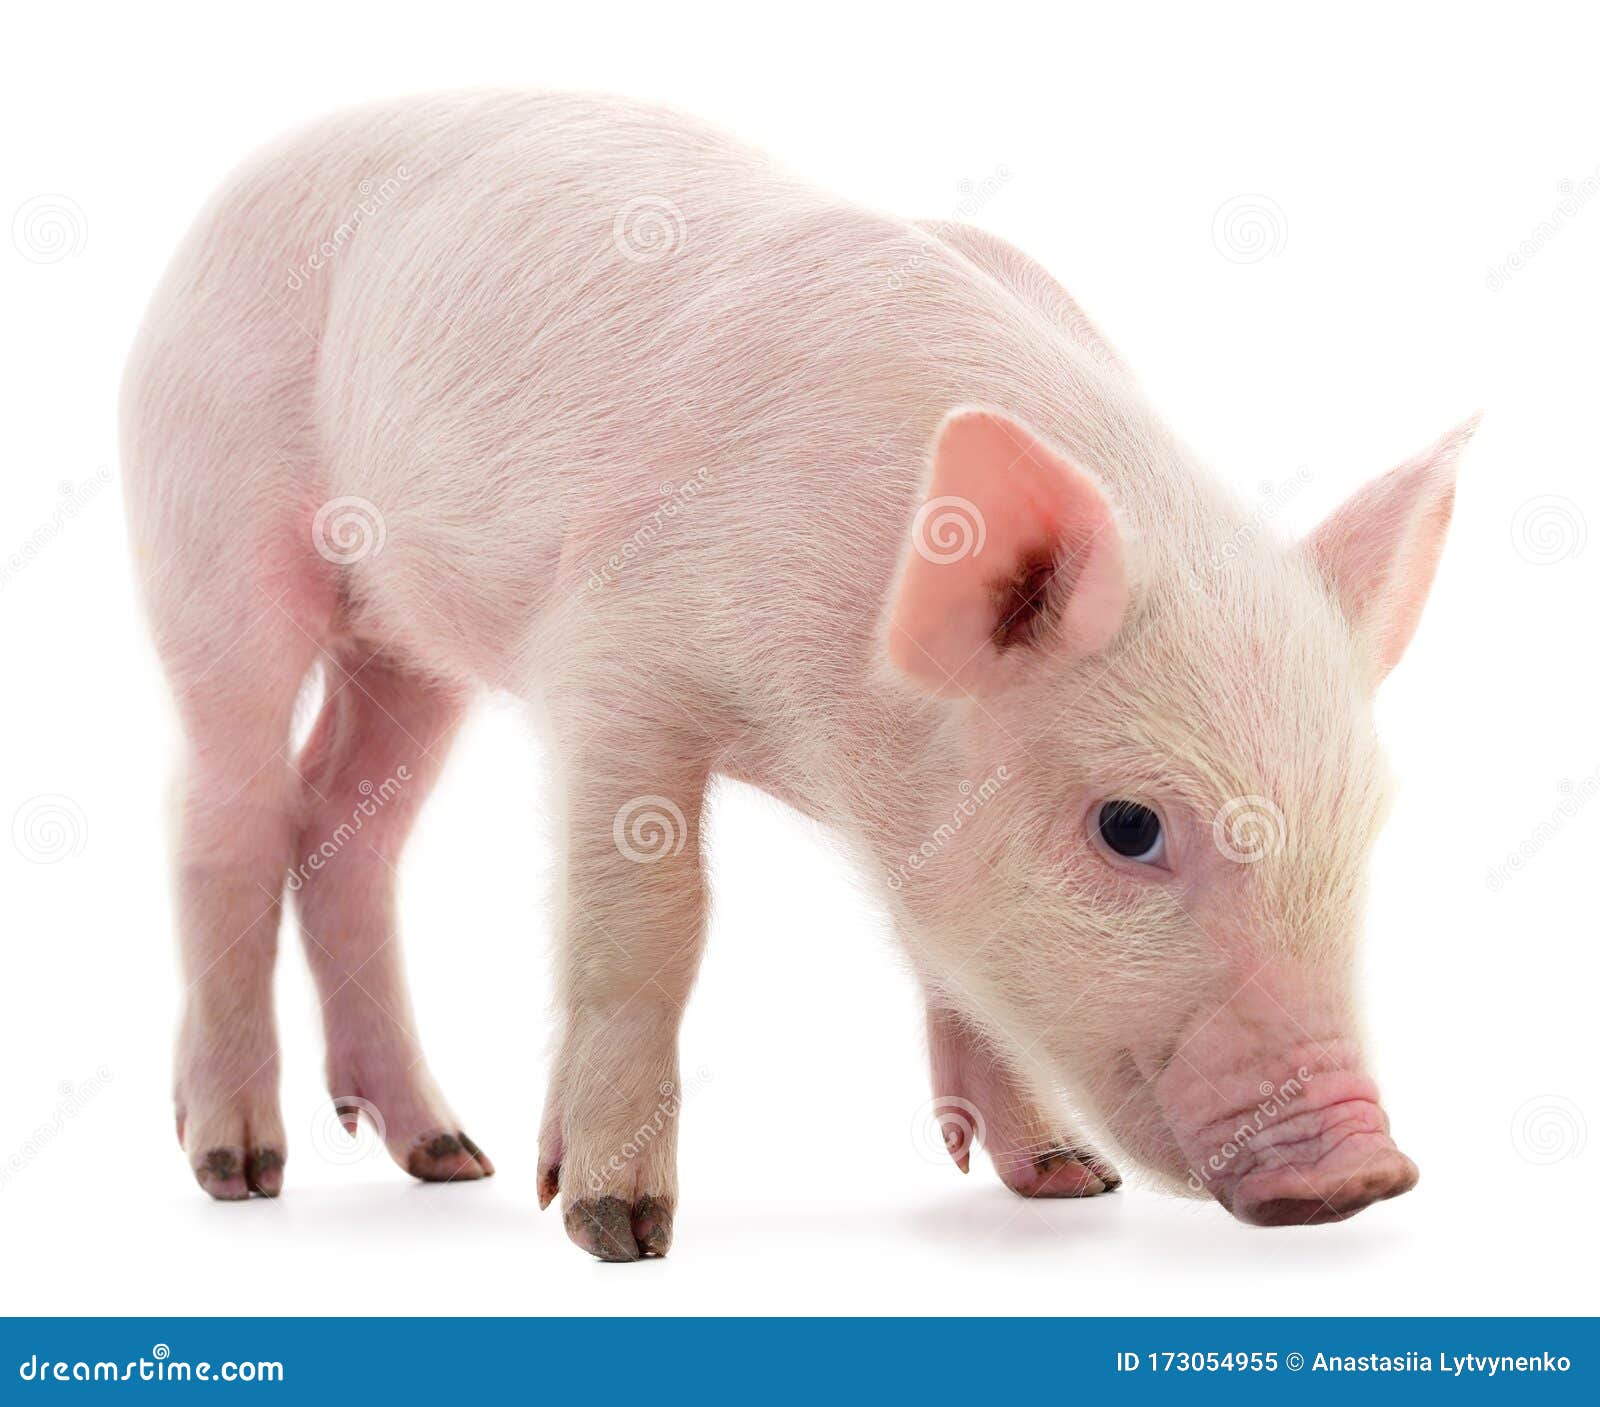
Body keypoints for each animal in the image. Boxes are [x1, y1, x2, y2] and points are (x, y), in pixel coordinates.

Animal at [121, 91, 1470, 1260]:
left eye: (1367, 827)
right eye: (1128, 826)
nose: (1359, 1171)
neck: (825, 721)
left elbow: (954, 954)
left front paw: (1058, 1181)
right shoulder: (613, 658)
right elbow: (651, 926)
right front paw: (614, 1230)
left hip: (407, 640)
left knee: (347, 828)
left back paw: (448, 1158)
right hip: (211, 528)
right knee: (225, 811)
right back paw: (241, 1170)